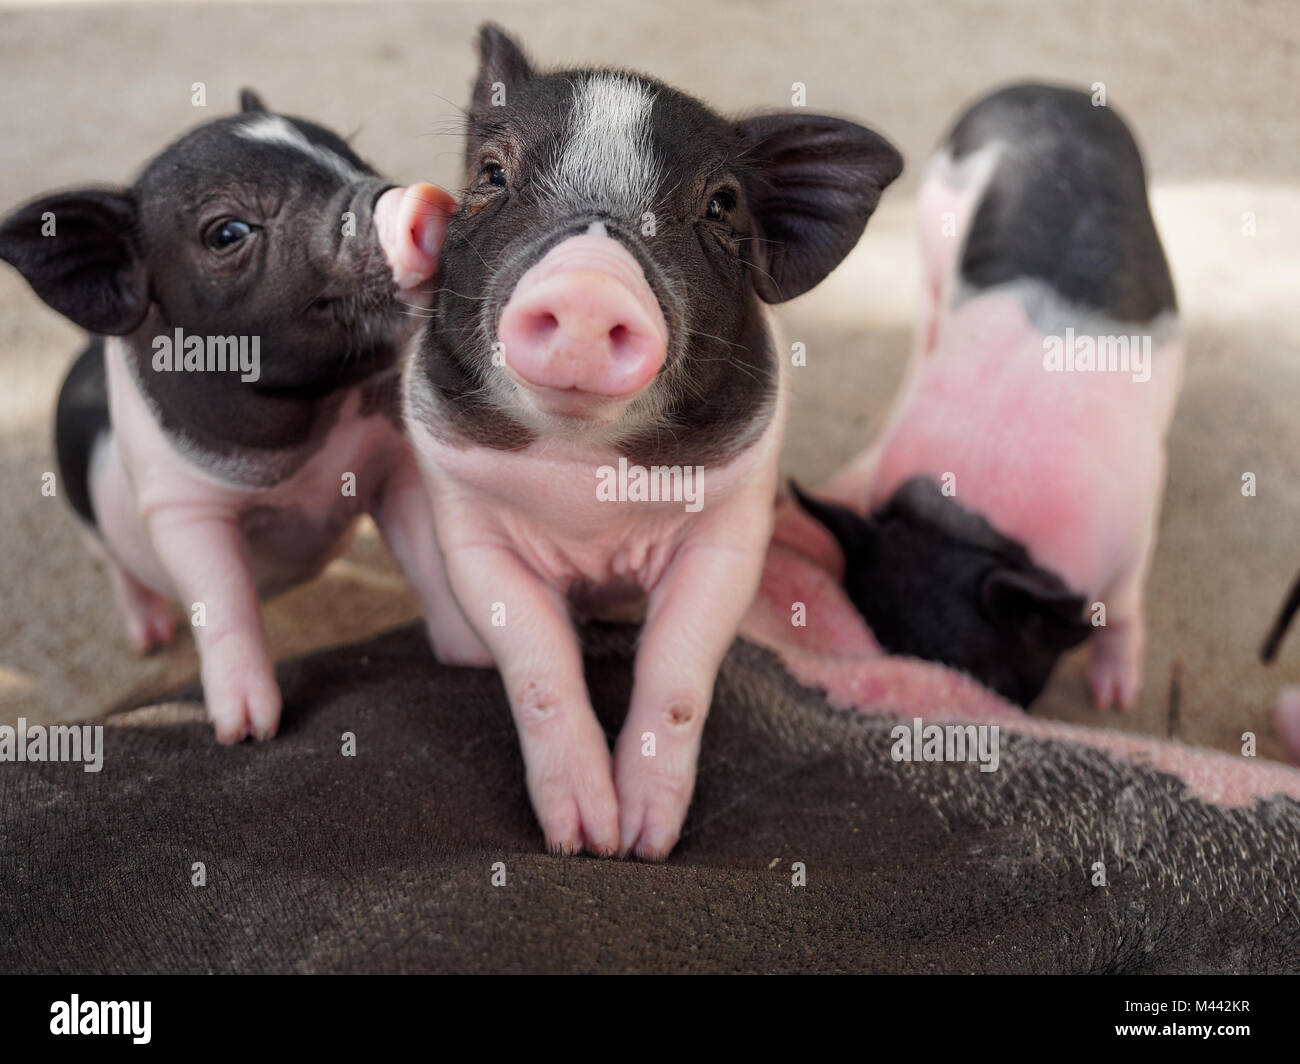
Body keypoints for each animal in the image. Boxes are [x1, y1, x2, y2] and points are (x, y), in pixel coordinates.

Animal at [0, 90, 471, 743]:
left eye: (353, 157)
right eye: (227, 232)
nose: (418, 196)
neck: (314, 433)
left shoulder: (391, 465)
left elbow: (427, 558)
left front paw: (472, 658)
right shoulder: (182, 508)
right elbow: (224, 602)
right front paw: (248, 730)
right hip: (88, 519)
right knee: (122, 575)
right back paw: (149, 640)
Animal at [402, 25, 902, 857]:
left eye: (720, 205)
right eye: (491, 172)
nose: (587, 285)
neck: (588, 500)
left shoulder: (730, 527)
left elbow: (677, 672)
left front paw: (642, 845)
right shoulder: (468, 521)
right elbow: (538, 671)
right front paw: (581, 841)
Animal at [797, 83, 1182, 709]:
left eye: (989, 683)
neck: (970, 525)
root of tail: (1041, 89)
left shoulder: (1139, 515)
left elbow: (1123, 611)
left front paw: (1114, 698)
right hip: (932, 234)